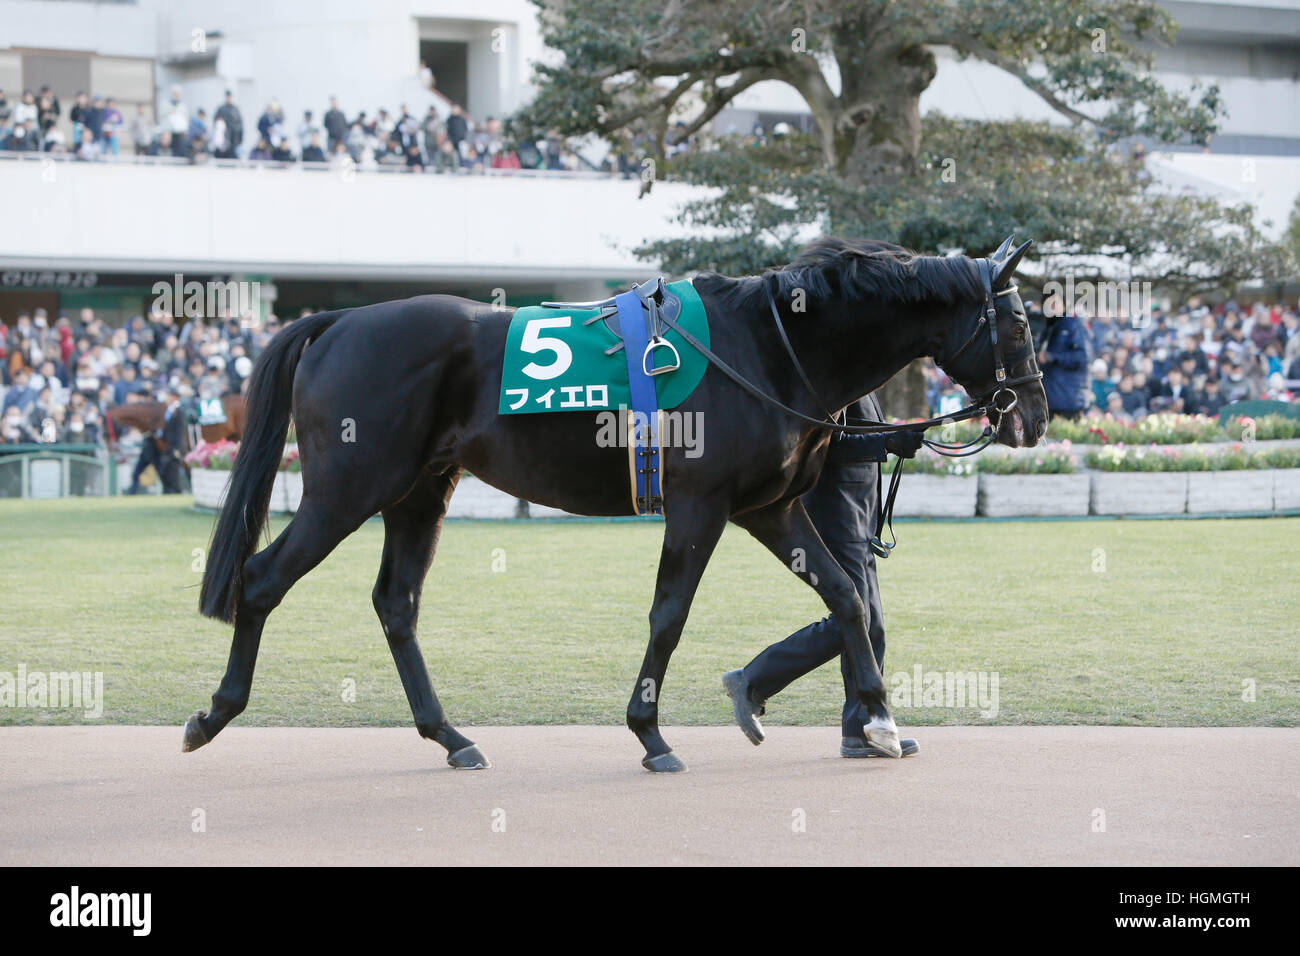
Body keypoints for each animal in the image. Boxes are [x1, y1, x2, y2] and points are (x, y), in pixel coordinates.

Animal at [185, 236, 1048, 772]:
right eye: (1019, 323)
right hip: (348, 488)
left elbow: (844, 596)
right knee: (261, 581)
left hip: (419, 490)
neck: (768, 346)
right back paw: (213, 714)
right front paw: (650, 734)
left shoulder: (767, 508)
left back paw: (450, 736)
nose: (1035, 415)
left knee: (396, 603)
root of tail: (338, 321)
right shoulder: (701, 506)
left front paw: (875, 715)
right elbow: (670, 615)